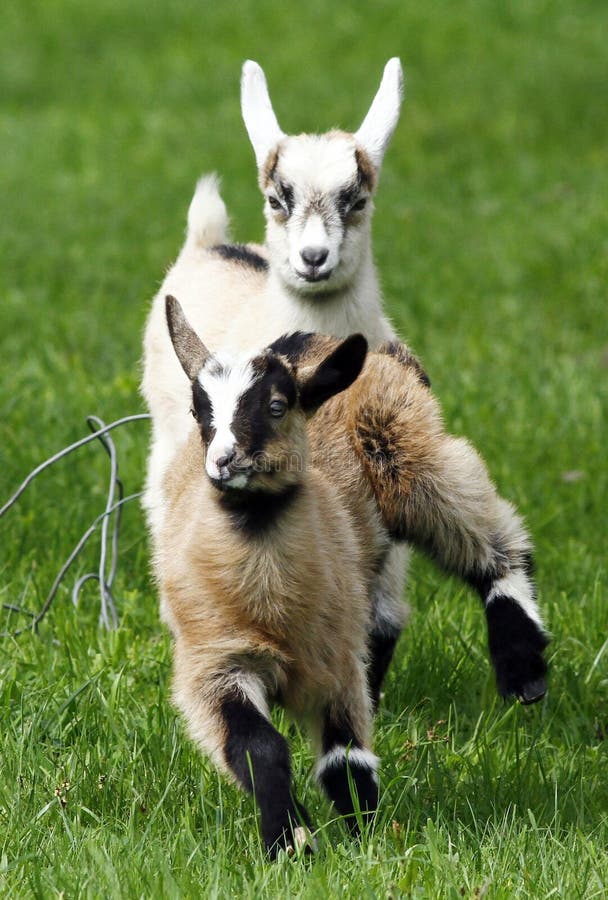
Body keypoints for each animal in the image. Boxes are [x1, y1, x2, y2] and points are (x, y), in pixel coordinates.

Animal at [157, 297, 384, 857]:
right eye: (199, 411)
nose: (224, 461)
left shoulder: (338, 665)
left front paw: (366, 837)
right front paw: (289, 841)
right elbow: (258, 747)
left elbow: (347, 761)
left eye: (278, 406)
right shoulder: (215, 662)